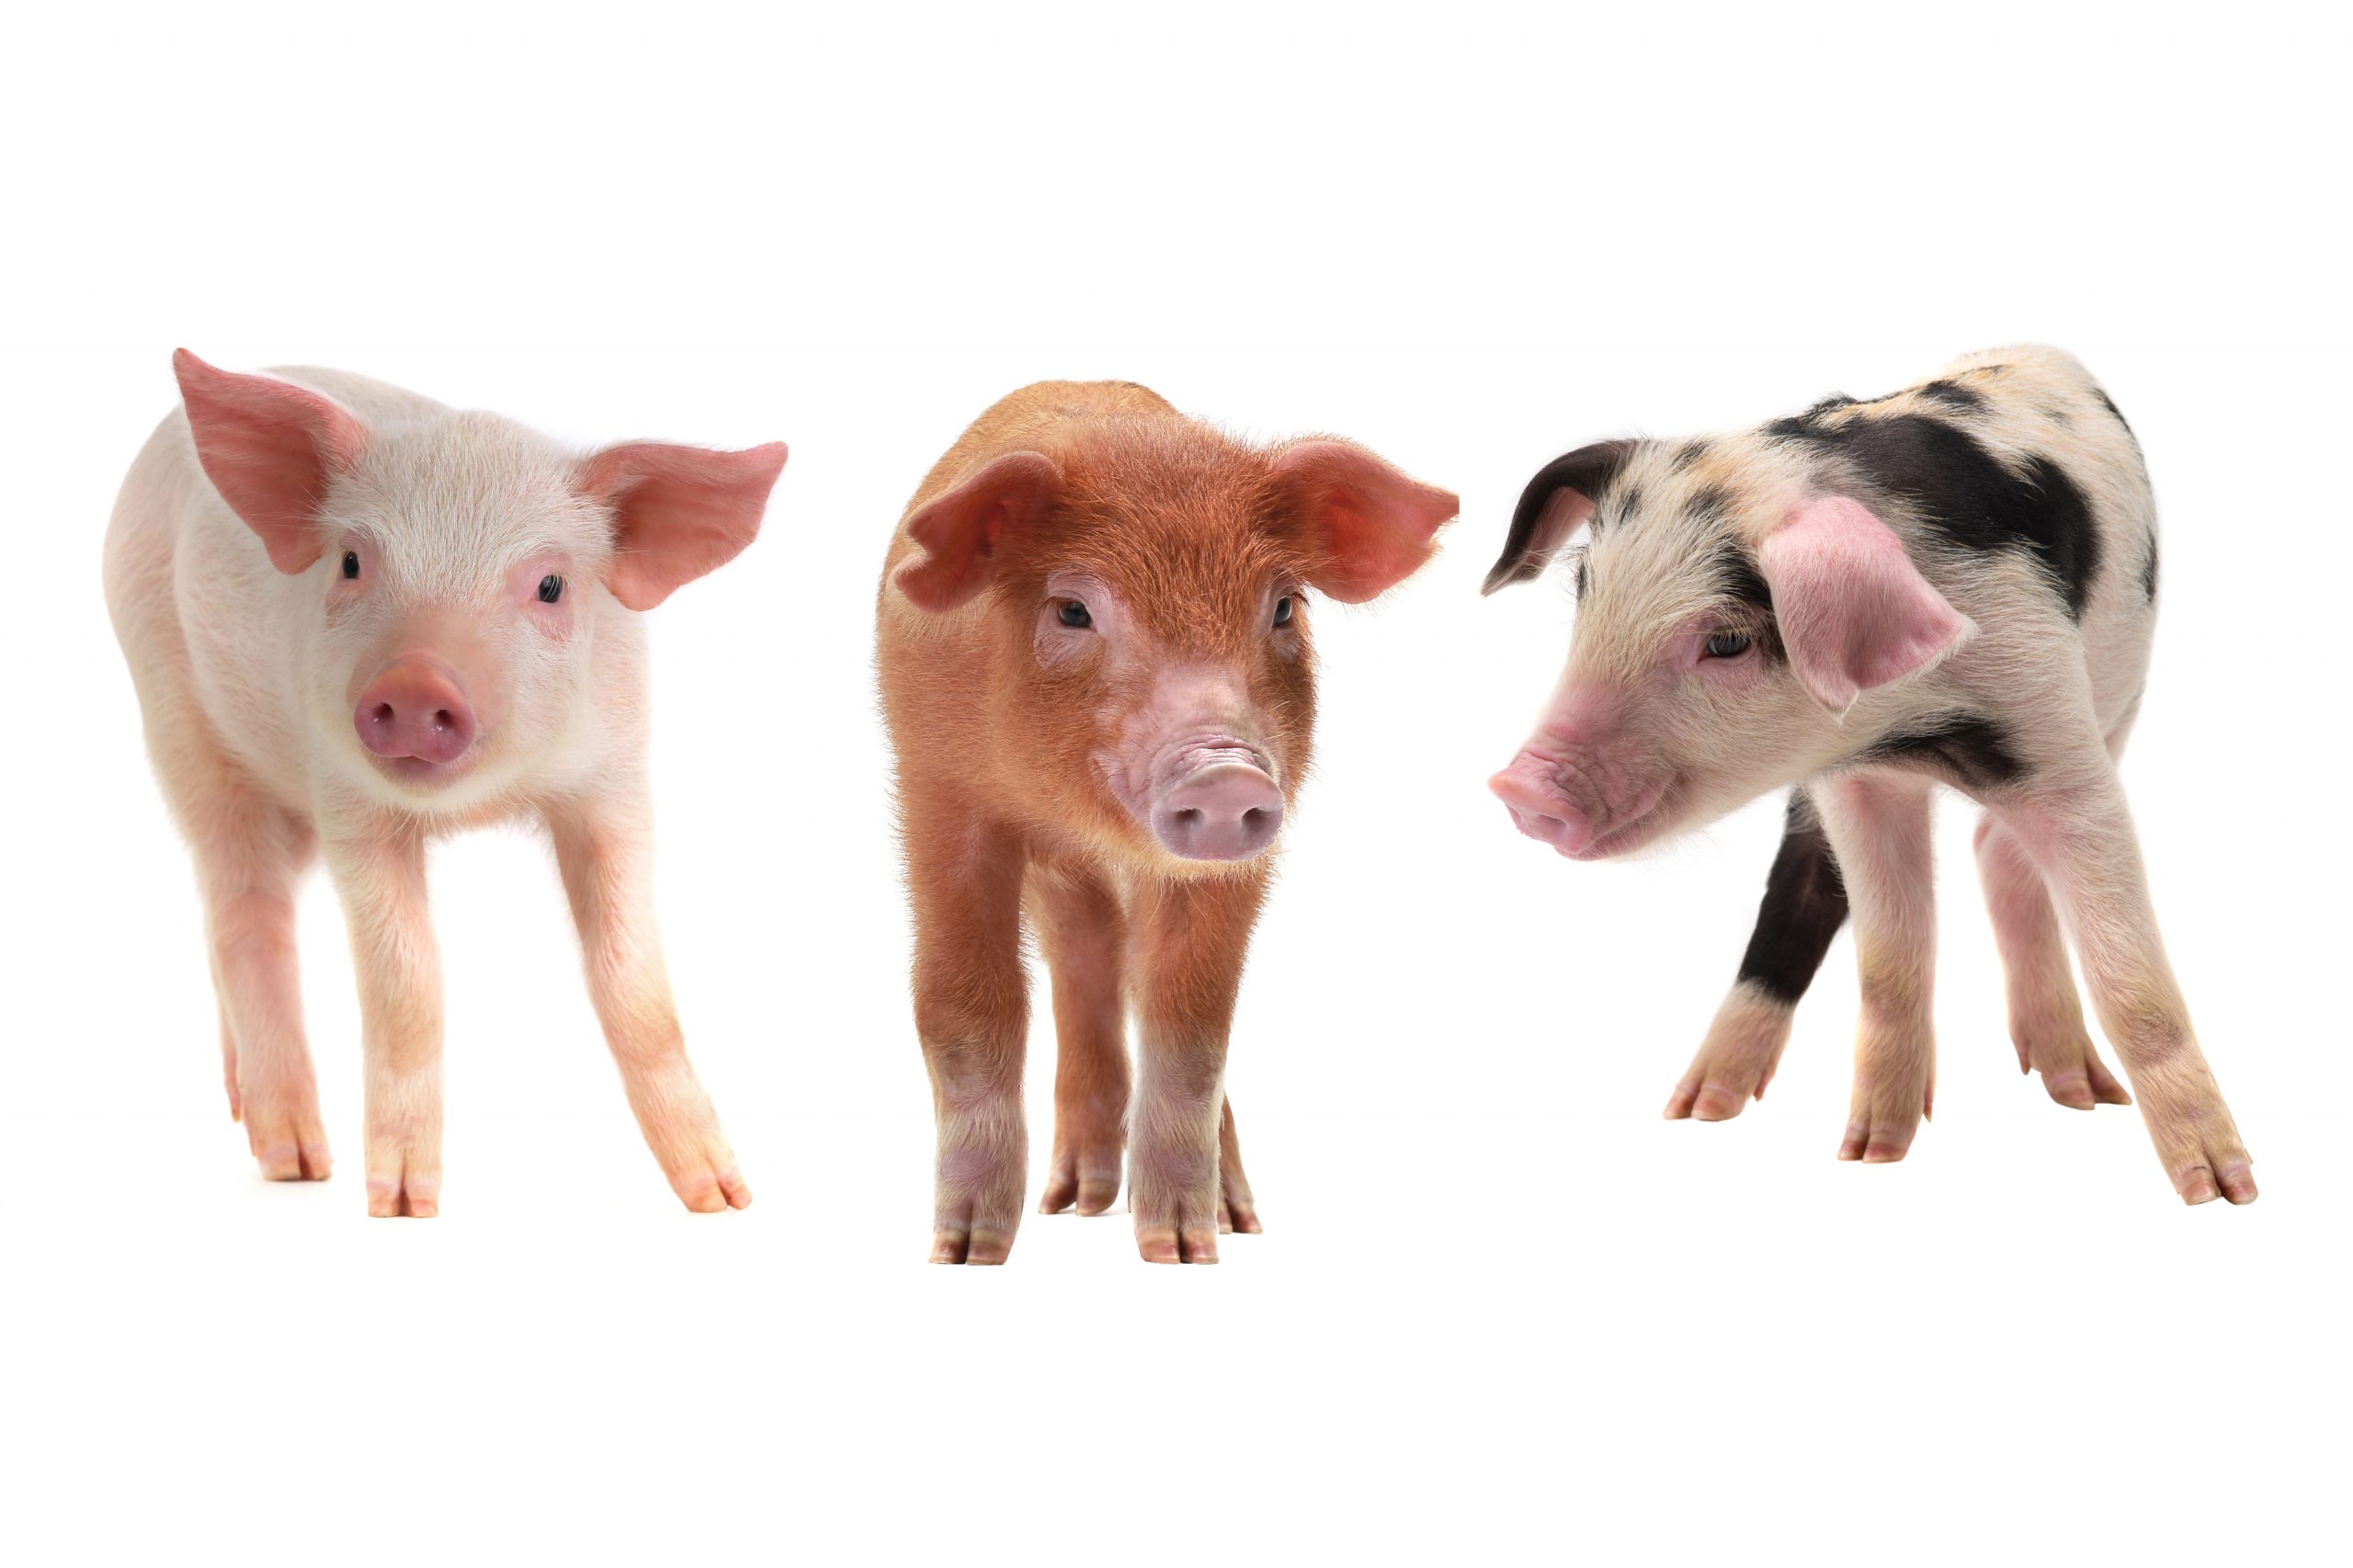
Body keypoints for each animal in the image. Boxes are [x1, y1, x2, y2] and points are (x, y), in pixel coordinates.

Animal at [103, 352, 786, 1216]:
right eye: (353, 563)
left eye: (551, 585)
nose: (417, 679)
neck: (480, 803)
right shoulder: (347, 796)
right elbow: (408, 986)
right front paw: (401, 1206)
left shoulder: (615, 780)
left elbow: (636, 986)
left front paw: (725, 1198)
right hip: (174, 713)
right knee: (243, 911)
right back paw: (297, 1164)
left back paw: (244, 1114)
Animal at [876, 381, 1455, 1263]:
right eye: (1072, 610)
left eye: (1283, 607)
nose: (1224, 770)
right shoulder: (939, 793)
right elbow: (964, 1006)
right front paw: (964, 1252)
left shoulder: (1230, 864)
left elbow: (1190, 1024)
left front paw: (1183, 1251)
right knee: (1083, 967)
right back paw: (1071, 1204)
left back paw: (1221, 1215)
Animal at [1483, 346, 2255, 1206]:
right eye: (1588, 595)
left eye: (1726, 641)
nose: (1519, 788)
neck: (1914, 725)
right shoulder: (1855, 781)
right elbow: (1887, 962)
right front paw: (1871, 1153)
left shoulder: (2056, 730)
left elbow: (2134, 983)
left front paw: (2222, 1188)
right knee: (1816, 885)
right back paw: (1701, 1106)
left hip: (2120, 695)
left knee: (1997, 851)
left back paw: (2078, 1092)